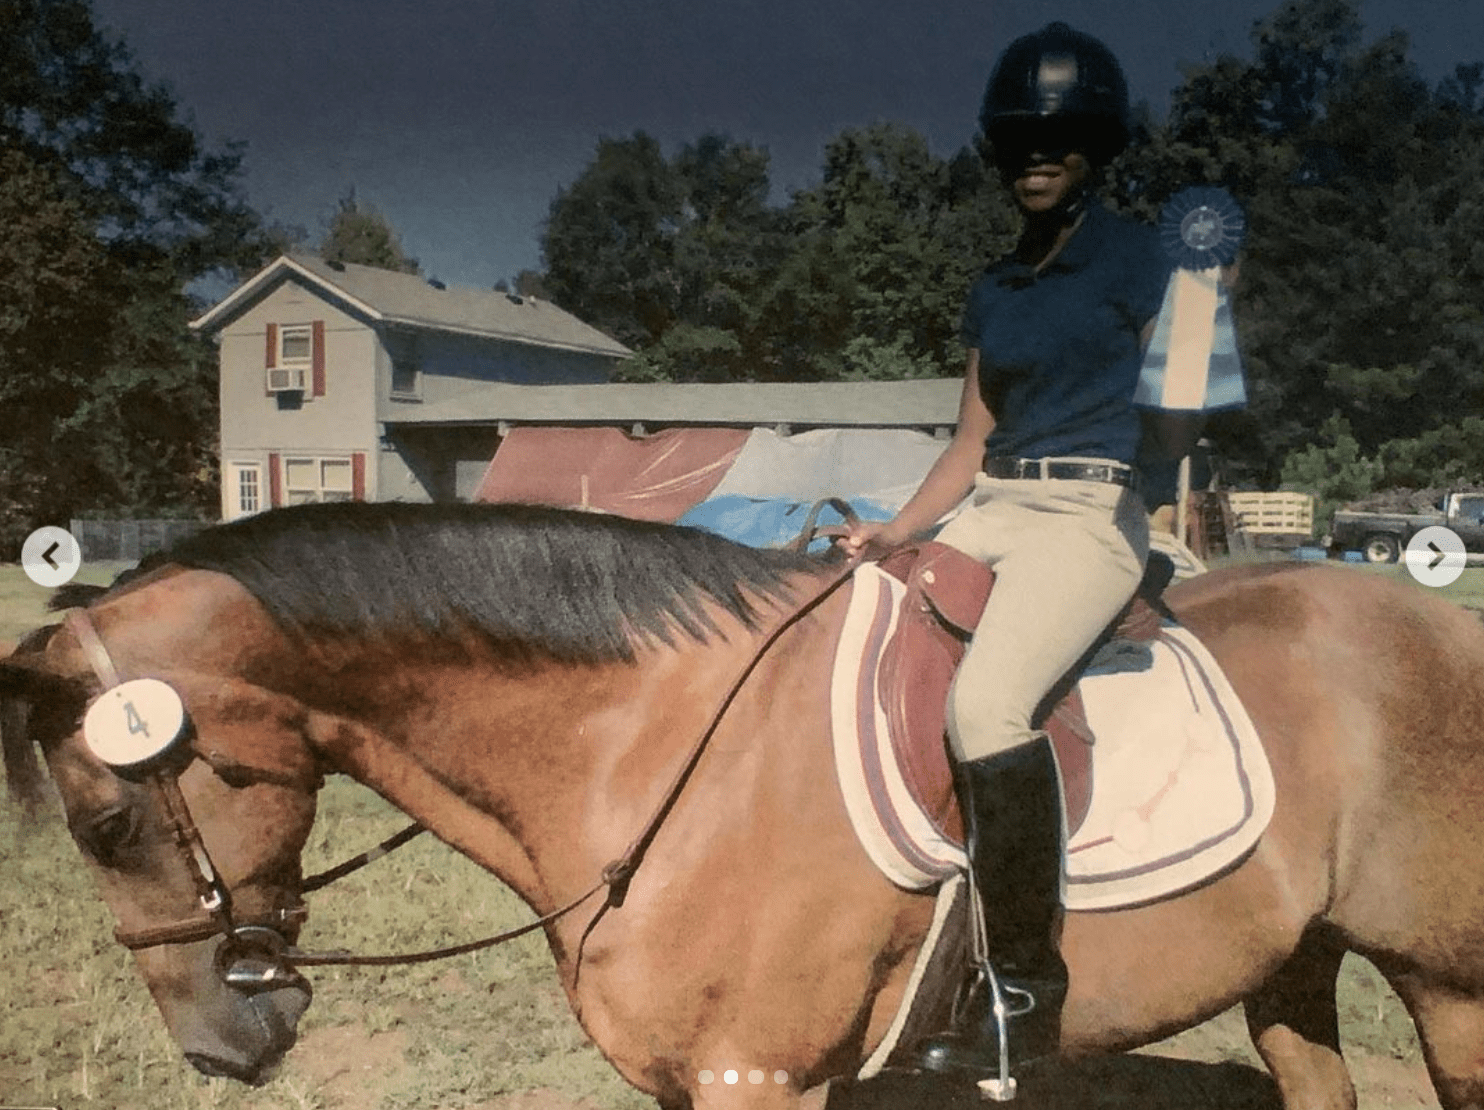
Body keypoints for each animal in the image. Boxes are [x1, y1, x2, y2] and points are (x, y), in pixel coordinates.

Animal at [4, 500, 1484, 1110]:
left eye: (106, 825)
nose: (217, 1050)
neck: (644, 740)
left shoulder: (752, 1077)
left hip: (1448, 982)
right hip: (1295, 961)